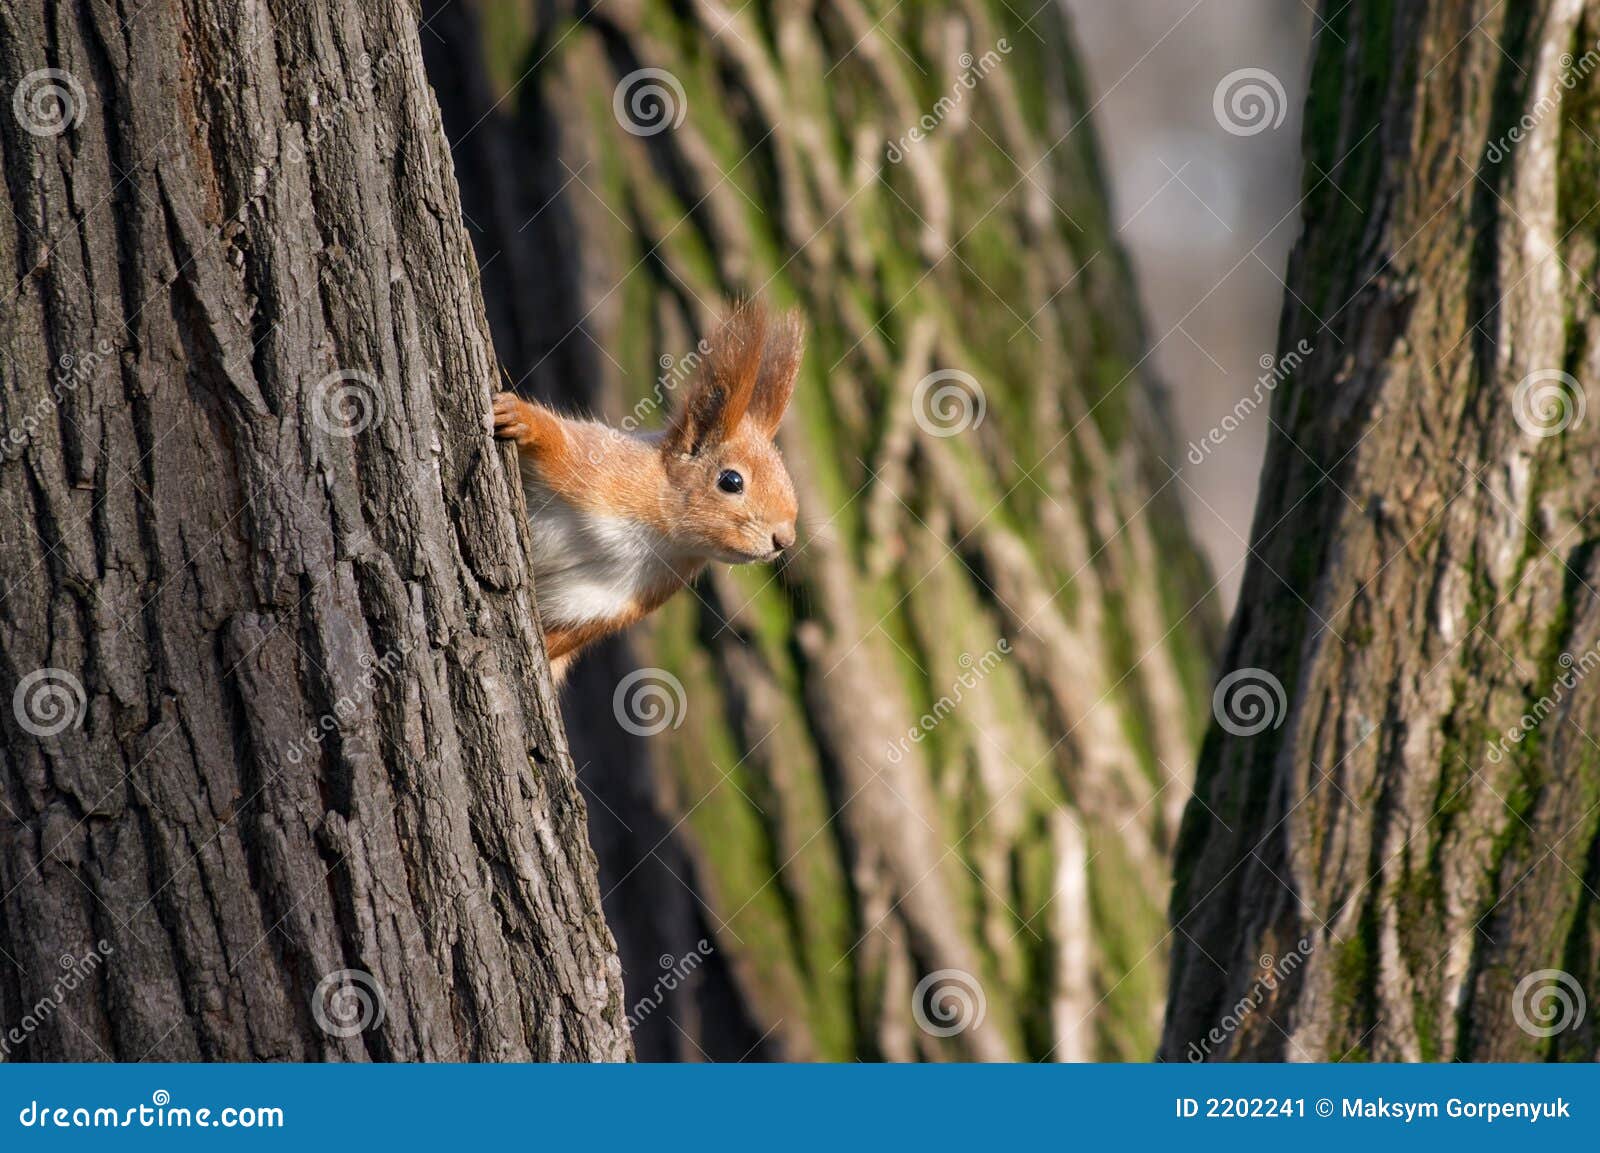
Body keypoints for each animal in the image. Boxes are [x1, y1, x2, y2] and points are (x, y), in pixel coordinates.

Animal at [492, 301, 803, 685]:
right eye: (731, 481)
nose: (784, 539)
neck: (657, 537)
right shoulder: (599, 471)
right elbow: (559, 442)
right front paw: (521, 419)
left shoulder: (618, 599)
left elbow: (566, 637)